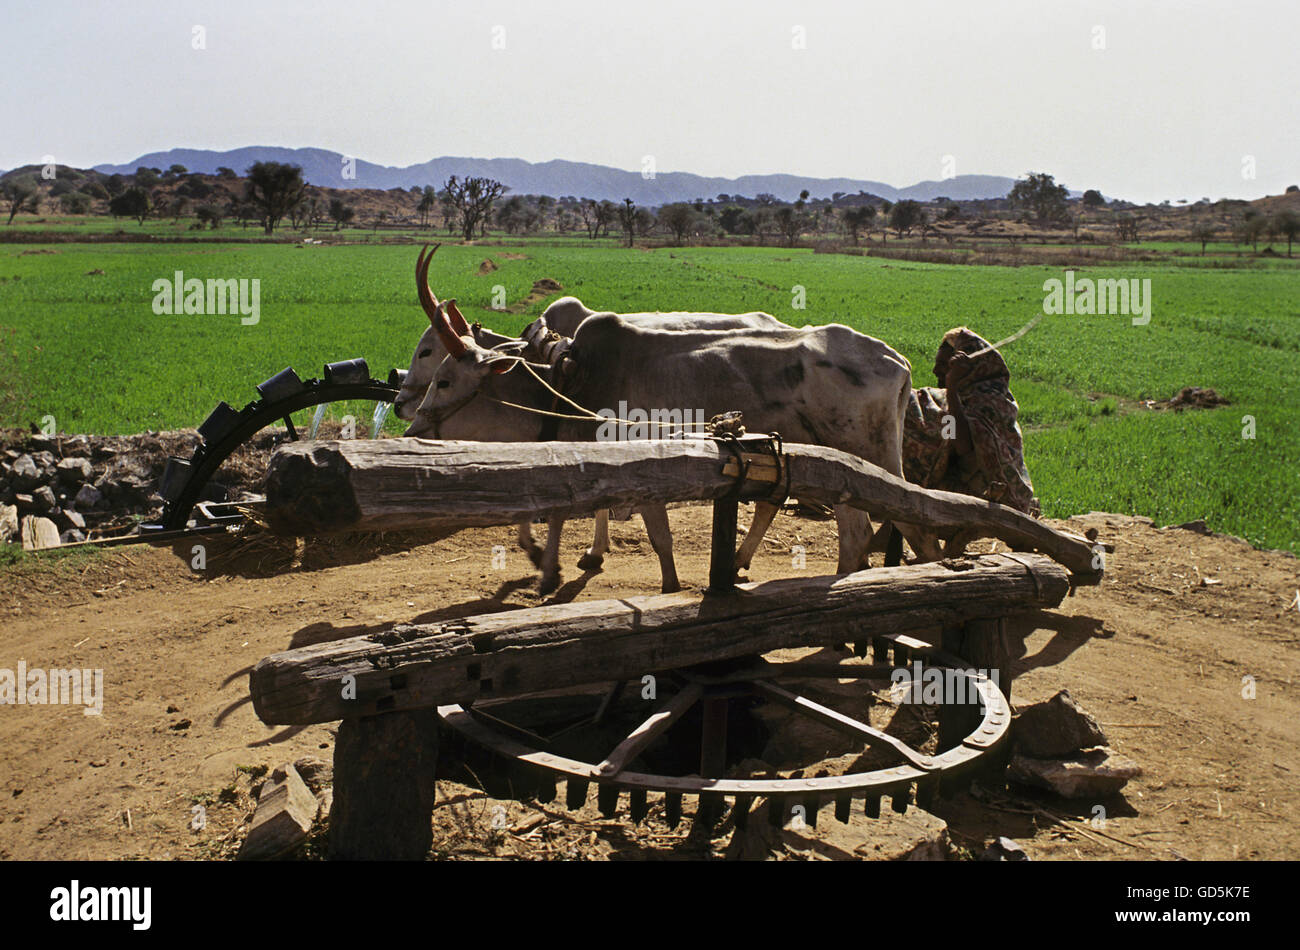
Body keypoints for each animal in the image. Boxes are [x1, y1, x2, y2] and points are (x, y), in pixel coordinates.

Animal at [406, 287, 914, 596]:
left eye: (444, 377)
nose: (409, 423)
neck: (570, 376)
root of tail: (897, 360)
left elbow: (658, 538)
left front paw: (665, 588)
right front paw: (554, 565)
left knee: (857, 536)